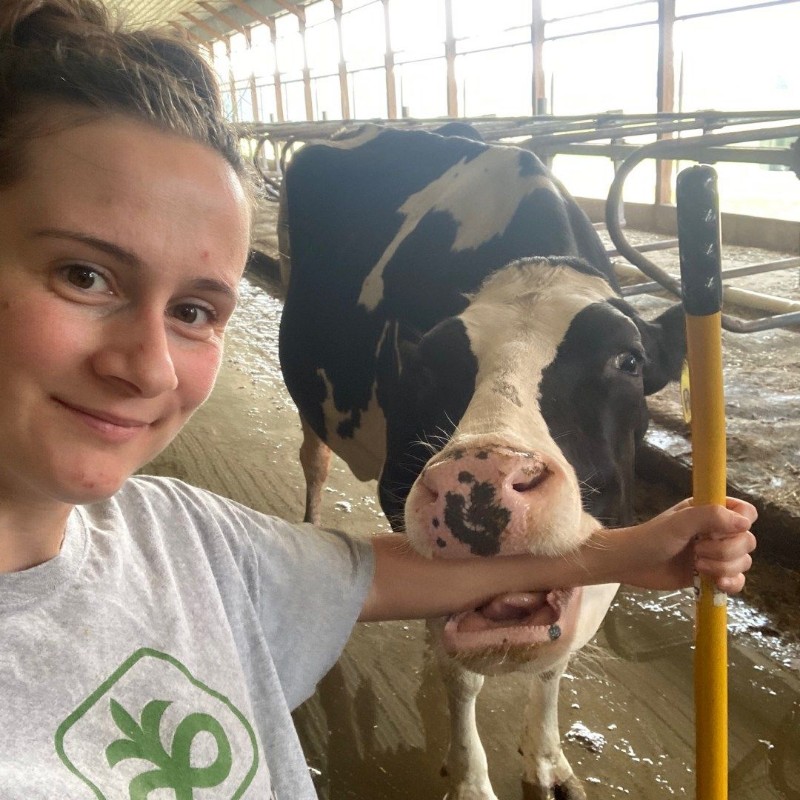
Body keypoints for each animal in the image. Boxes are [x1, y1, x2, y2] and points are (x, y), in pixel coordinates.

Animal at [276, 123, 685, 799]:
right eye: (426, 364)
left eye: (627, 360)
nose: (482, 481)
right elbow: (463, 674)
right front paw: (470, 778)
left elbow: (553, 664)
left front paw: (546, 761)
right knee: (314, 461)